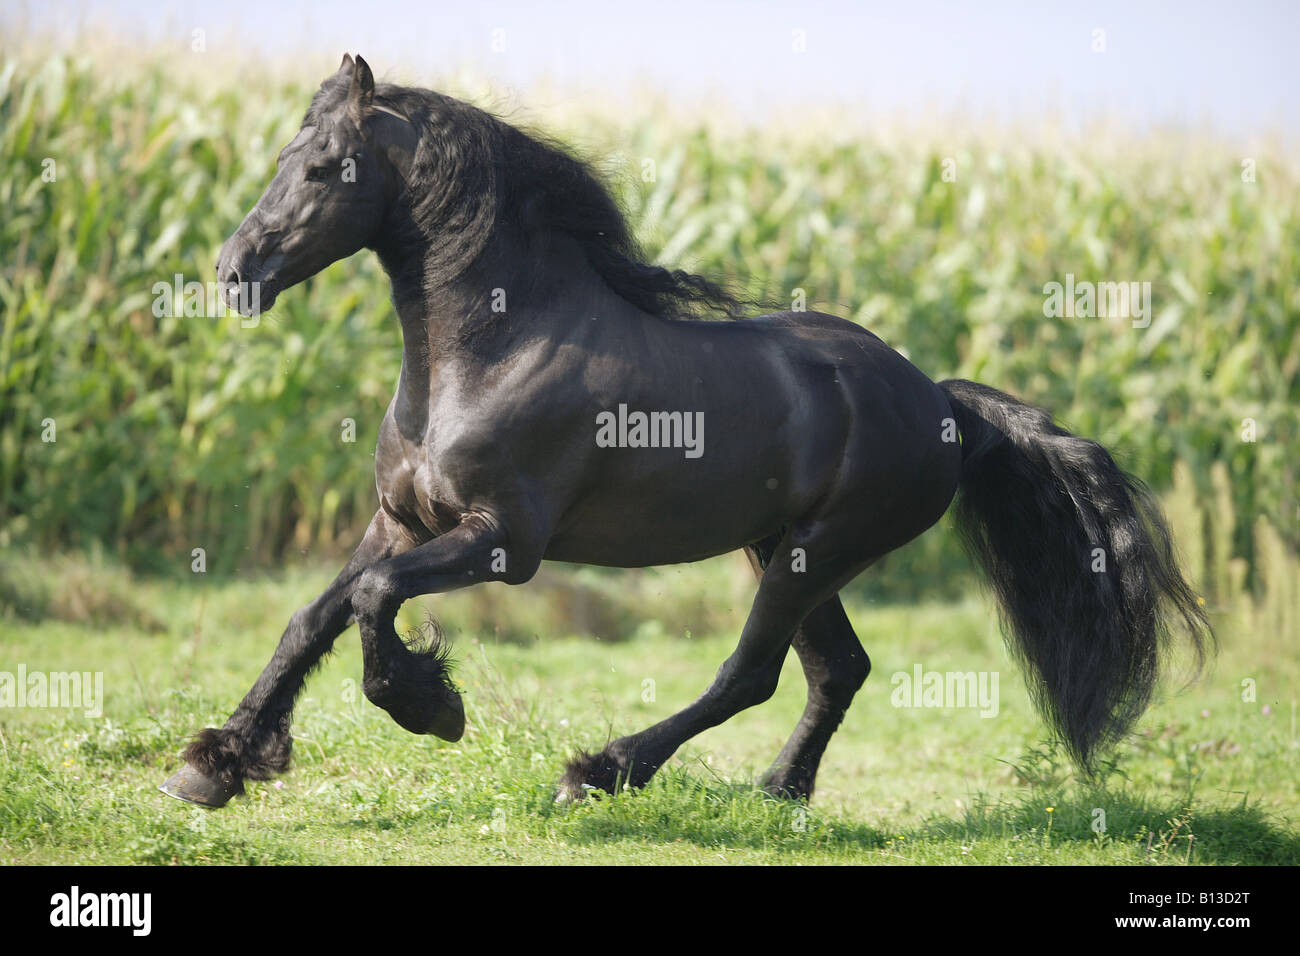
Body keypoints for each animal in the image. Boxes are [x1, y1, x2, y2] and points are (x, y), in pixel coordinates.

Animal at [161, 54, 1212, 808]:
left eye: (325, 165)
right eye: (282, 157)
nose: (233, 271)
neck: (490, 352)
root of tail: (941, 402)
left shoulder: (503, 543)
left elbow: (376, 604)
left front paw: (435, 708)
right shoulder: (402, 521)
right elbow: (315, 617)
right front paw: (213, 766)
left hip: (817, 552)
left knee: (751, 674)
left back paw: (599, 773)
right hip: (784, 548)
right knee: (838, 670)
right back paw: (778, 792)